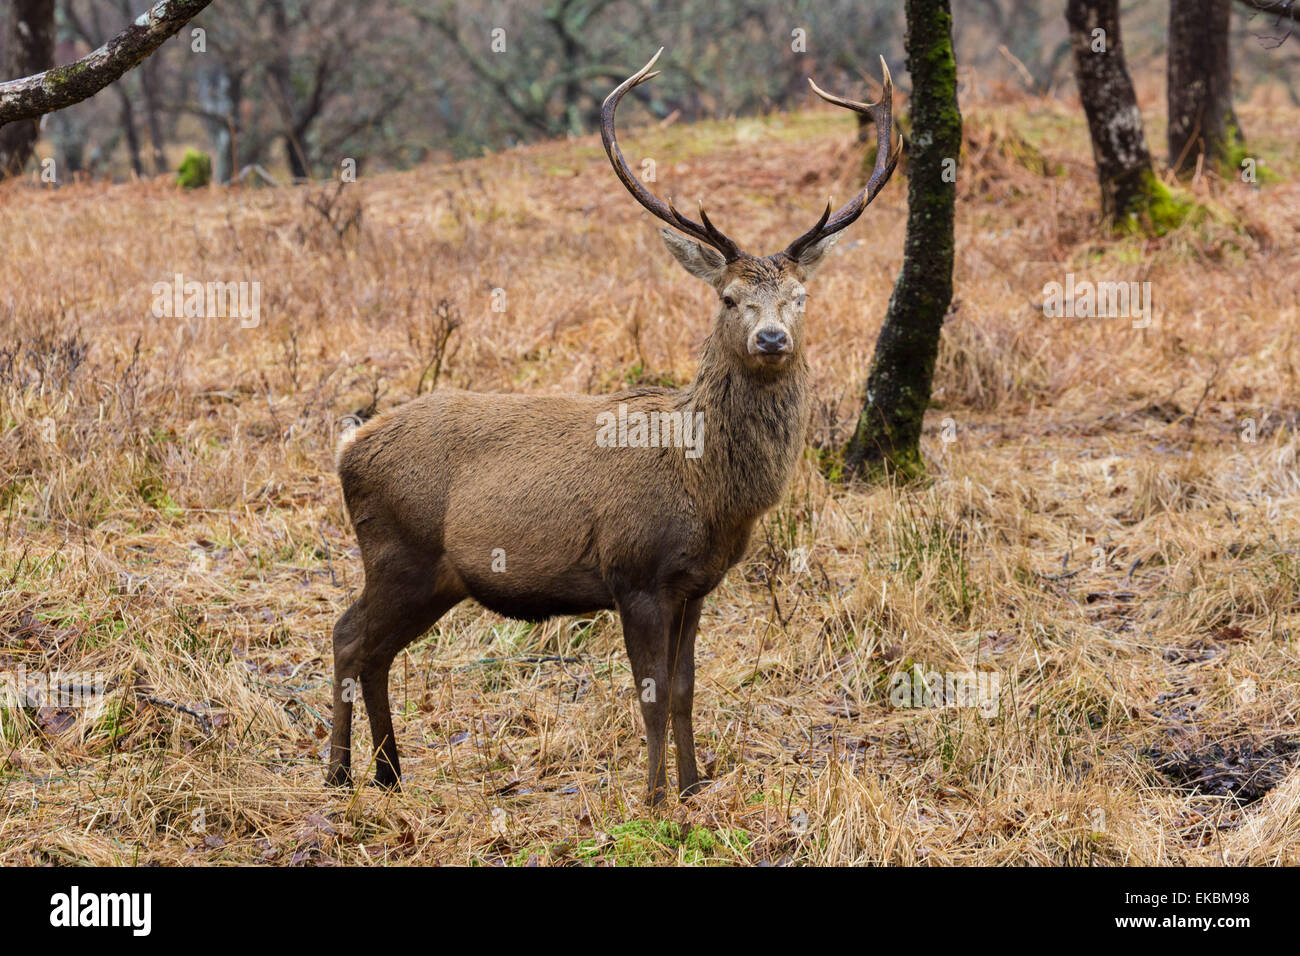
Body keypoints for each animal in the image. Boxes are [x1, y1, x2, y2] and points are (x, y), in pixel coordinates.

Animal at [326, 48, 898, 805]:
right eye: (729, 297)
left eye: (800, 296)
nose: (772, 338)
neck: (707, 486)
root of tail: (349, 447)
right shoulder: (636, 573)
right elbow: (649, 694)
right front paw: (653, 799)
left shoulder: (695, 584)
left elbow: (684, 691)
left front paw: (693, 785)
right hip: (400, 552)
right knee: (348, 636)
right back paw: (339, 774)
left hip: (431, 576)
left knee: (372, 649)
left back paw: (389, 773)